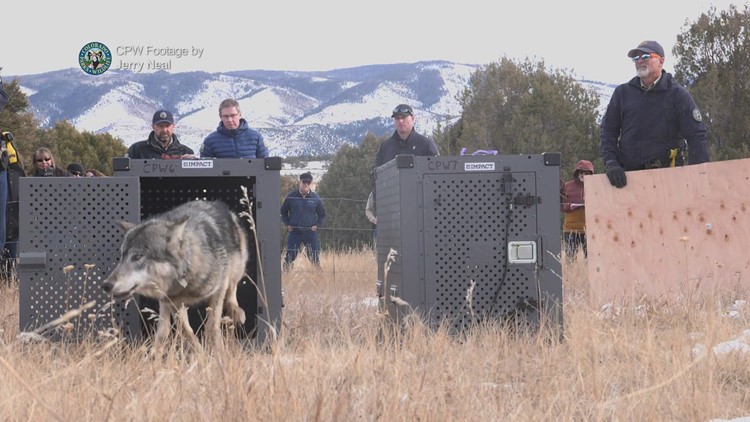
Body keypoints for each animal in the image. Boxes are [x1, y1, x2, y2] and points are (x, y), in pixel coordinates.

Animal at [101, 200, 248, 351]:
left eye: (137, 256)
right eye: (121, 257)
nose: (106, 285)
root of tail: (213, 202)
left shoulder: (220, 286)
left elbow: (212, 326)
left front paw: (217, 351)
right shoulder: (173, 301)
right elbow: (186, 331)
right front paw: (200, 354)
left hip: (238, 267)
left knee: (233, 287)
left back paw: (236, 312)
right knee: (163, 328)